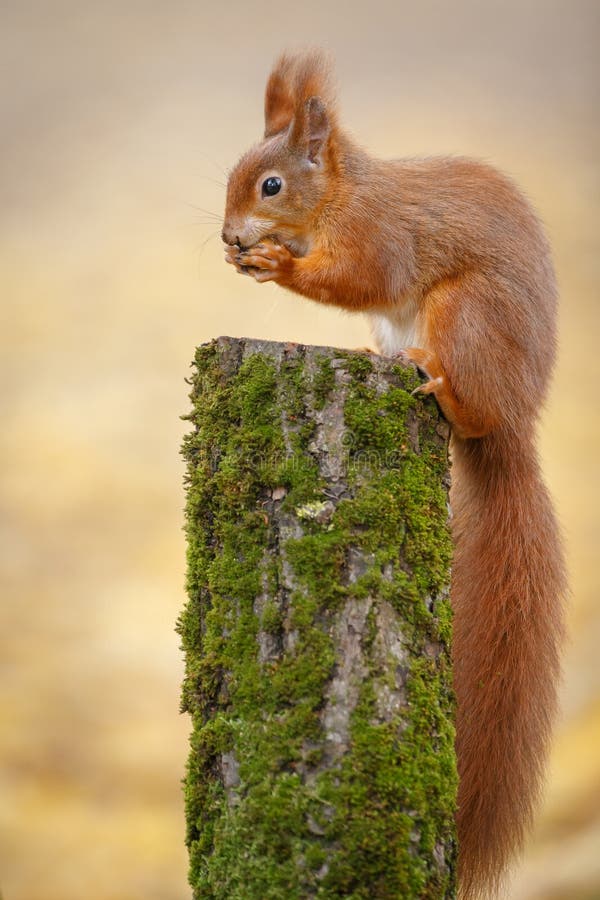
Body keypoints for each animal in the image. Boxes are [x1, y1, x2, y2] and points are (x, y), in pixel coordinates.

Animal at [222, 50, 567, 899]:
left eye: (270, 185)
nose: (228, 236)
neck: (341, 197)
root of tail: (515, 420)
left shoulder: (381, 238)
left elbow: (357, 277)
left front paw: (276, 265)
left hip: (466, 314)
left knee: (465, 400)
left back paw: (438, 384)